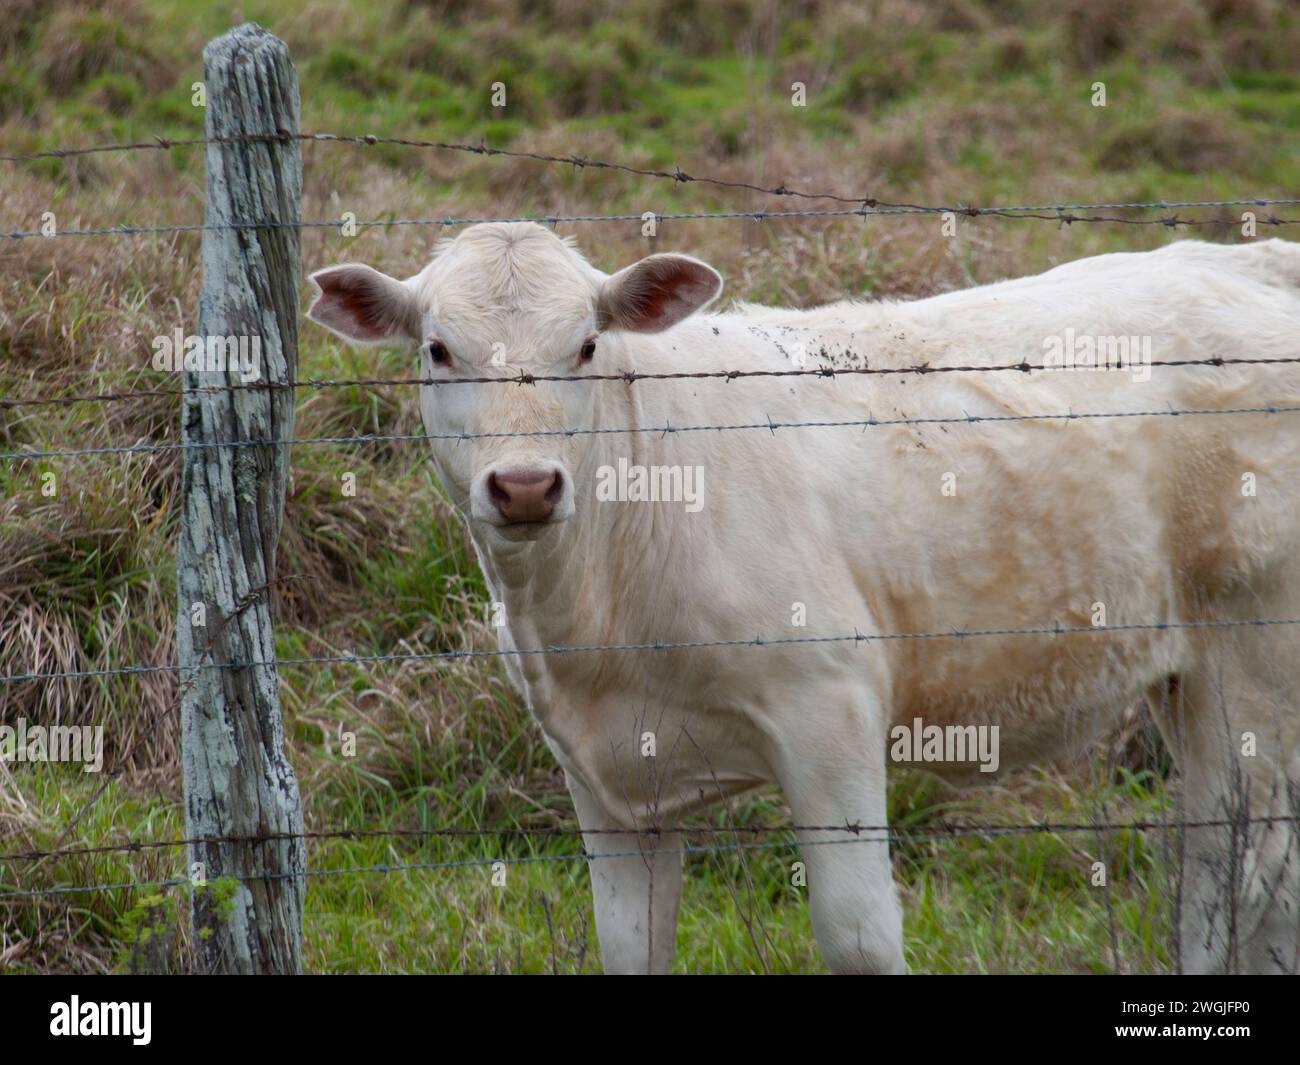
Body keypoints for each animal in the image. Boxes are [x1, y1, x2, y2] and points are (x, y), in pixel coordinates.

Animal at [308, 224, 1300, 974]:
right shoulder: (601, 775)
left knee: (1240, 879)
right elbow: (631, 944)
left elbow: (858, 936)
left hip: (1252, 668)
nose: (523, 486)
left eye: (585, 346)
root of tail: (1242, 258)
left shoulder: (830, 707)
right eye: (439, 350)